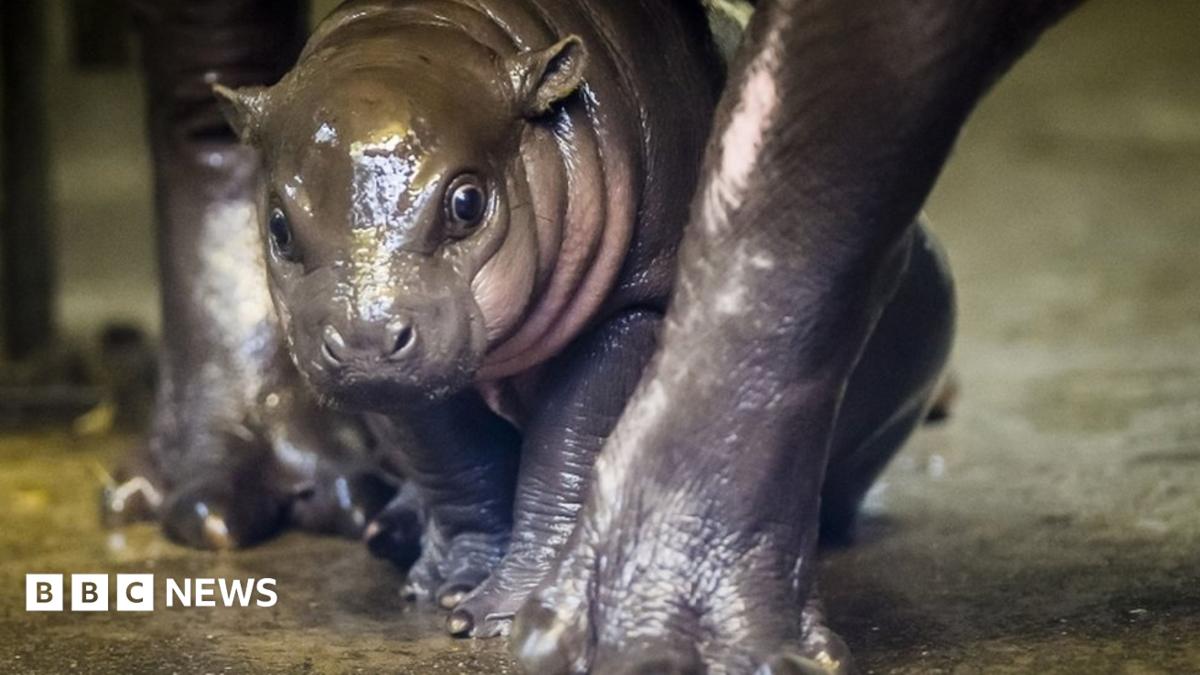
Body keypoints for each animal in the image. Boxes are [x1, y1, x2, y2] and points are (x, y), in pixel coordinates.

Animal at [213, 0, 956, 660]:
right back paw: (391, 531)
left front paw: (509, 612)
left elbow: (567, 446)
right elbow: (455, 460)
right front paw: (449, 589)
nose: (366, 336)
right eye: (278, 223)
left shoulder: (633, 308)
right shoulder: (416, 374)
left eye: (466, 201)